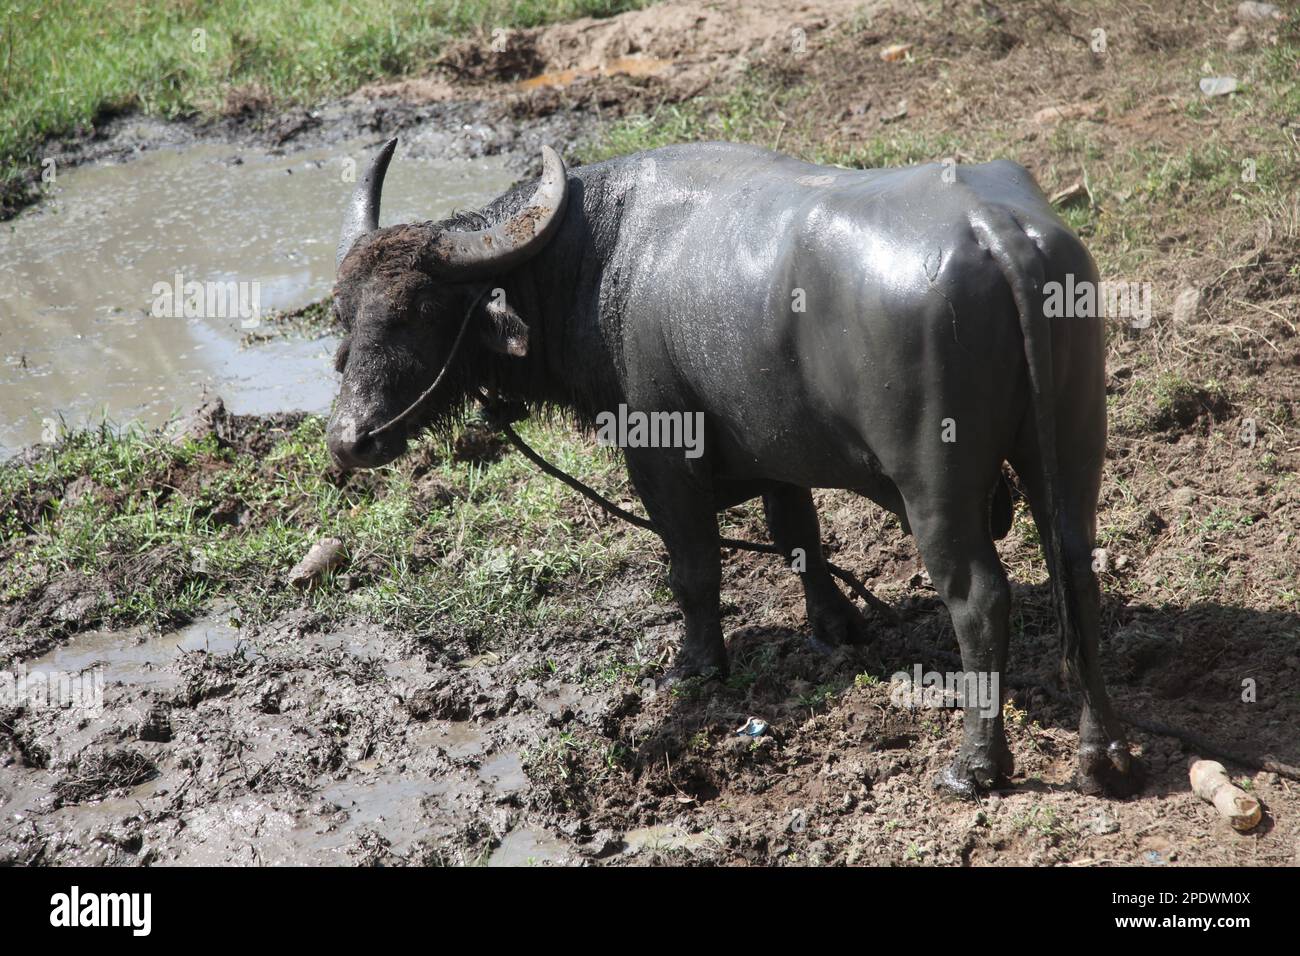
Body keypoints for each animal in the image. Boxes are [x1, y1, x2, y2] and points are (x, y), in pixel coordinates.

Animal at [325, 138, 1135, 797]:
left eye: (416, 311)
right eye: (345, 311)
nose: (349, 440)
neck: (602, 259)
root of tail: (994, 229)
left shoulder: (661, 461)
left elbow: (694, 569)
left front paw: (694, 663)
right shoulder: (778, 455)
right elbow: (798, 537)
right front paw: (835, 626)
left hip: (937, 486)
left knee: (979, 599)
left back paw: (975, 767)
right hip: (1070, 447)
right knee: (1076, 570)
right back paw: (1100, 758)